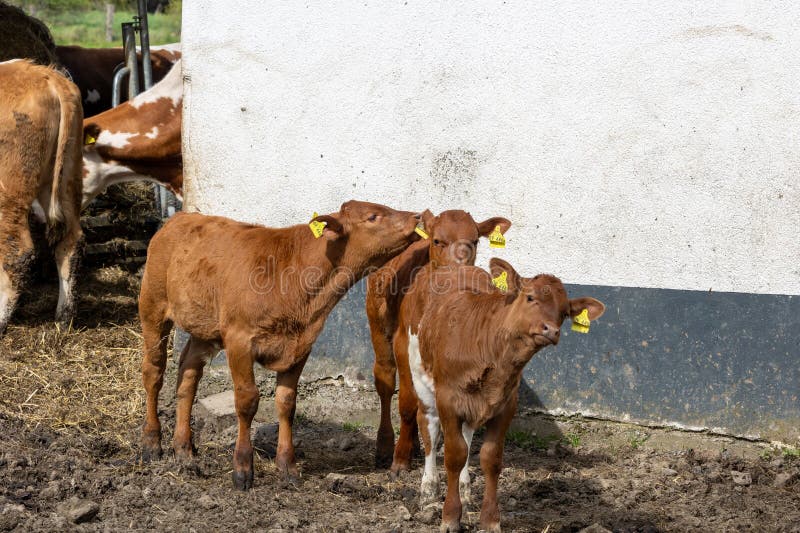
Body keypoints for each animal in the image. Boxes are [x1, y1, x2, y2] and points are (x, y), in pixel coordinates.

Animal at [0, 60, 83, 334]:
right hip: (67, 175)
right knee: (71, 241)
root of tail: (47, 75)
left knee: (19, 252)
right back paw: (64, 317)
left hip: (10, 192)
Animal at [138, 201, 422, 489]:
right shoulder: (239, 340)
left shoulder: (300, 346)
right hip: (153, 308)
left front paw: (287, 466)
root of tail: (181, 217)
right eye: (373, 216)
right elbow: (247, 401)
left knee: (188, 376)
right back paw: (151, 442)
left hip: (204, 330)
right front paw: (242, 468)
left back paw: (183, 448)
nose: (417, 216)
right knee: (154, 373)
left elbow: (286, 403)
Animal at [366, 210, 511, 470]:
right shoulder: (402, 343)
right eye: (437, 241)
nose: (458, 270)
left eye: (475, 241)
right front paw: (400, 458)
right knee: (385, 381)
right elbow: (407, 402)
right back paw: (385, 445)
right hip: (379, 326)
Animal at [411, 259, 605, 532]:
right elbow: (453, 454)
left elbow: (490, 458)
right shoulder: (448, 400)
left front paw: (490, 520)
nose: (551, 330)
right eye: (530, 297)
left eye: (565, 312)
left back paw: (464, 487)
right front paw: (450, 517)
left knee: (467, 436)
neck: (487, 345)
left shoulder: (506, 404)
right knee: (429, 427)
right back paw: (428, 488)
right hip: (418, 373)